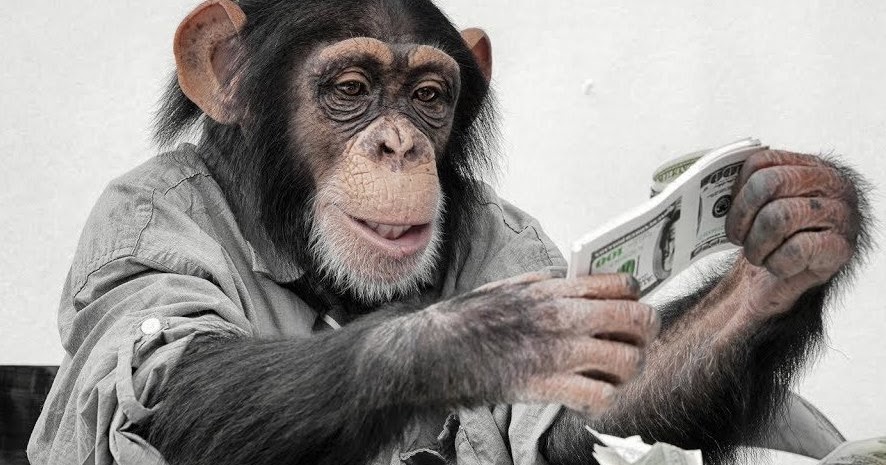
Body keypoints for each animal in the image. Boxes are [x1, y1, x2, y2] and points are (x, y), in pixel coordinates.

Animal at [27, 1, 871, 465]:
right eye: (352, 89)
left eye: (429, 96)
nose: (400, 144)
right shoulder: (132, 226)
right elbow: (156, 384)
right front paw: (500, 333)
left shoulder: (513, 232)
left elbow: (570, 429)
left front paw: (790, 241)